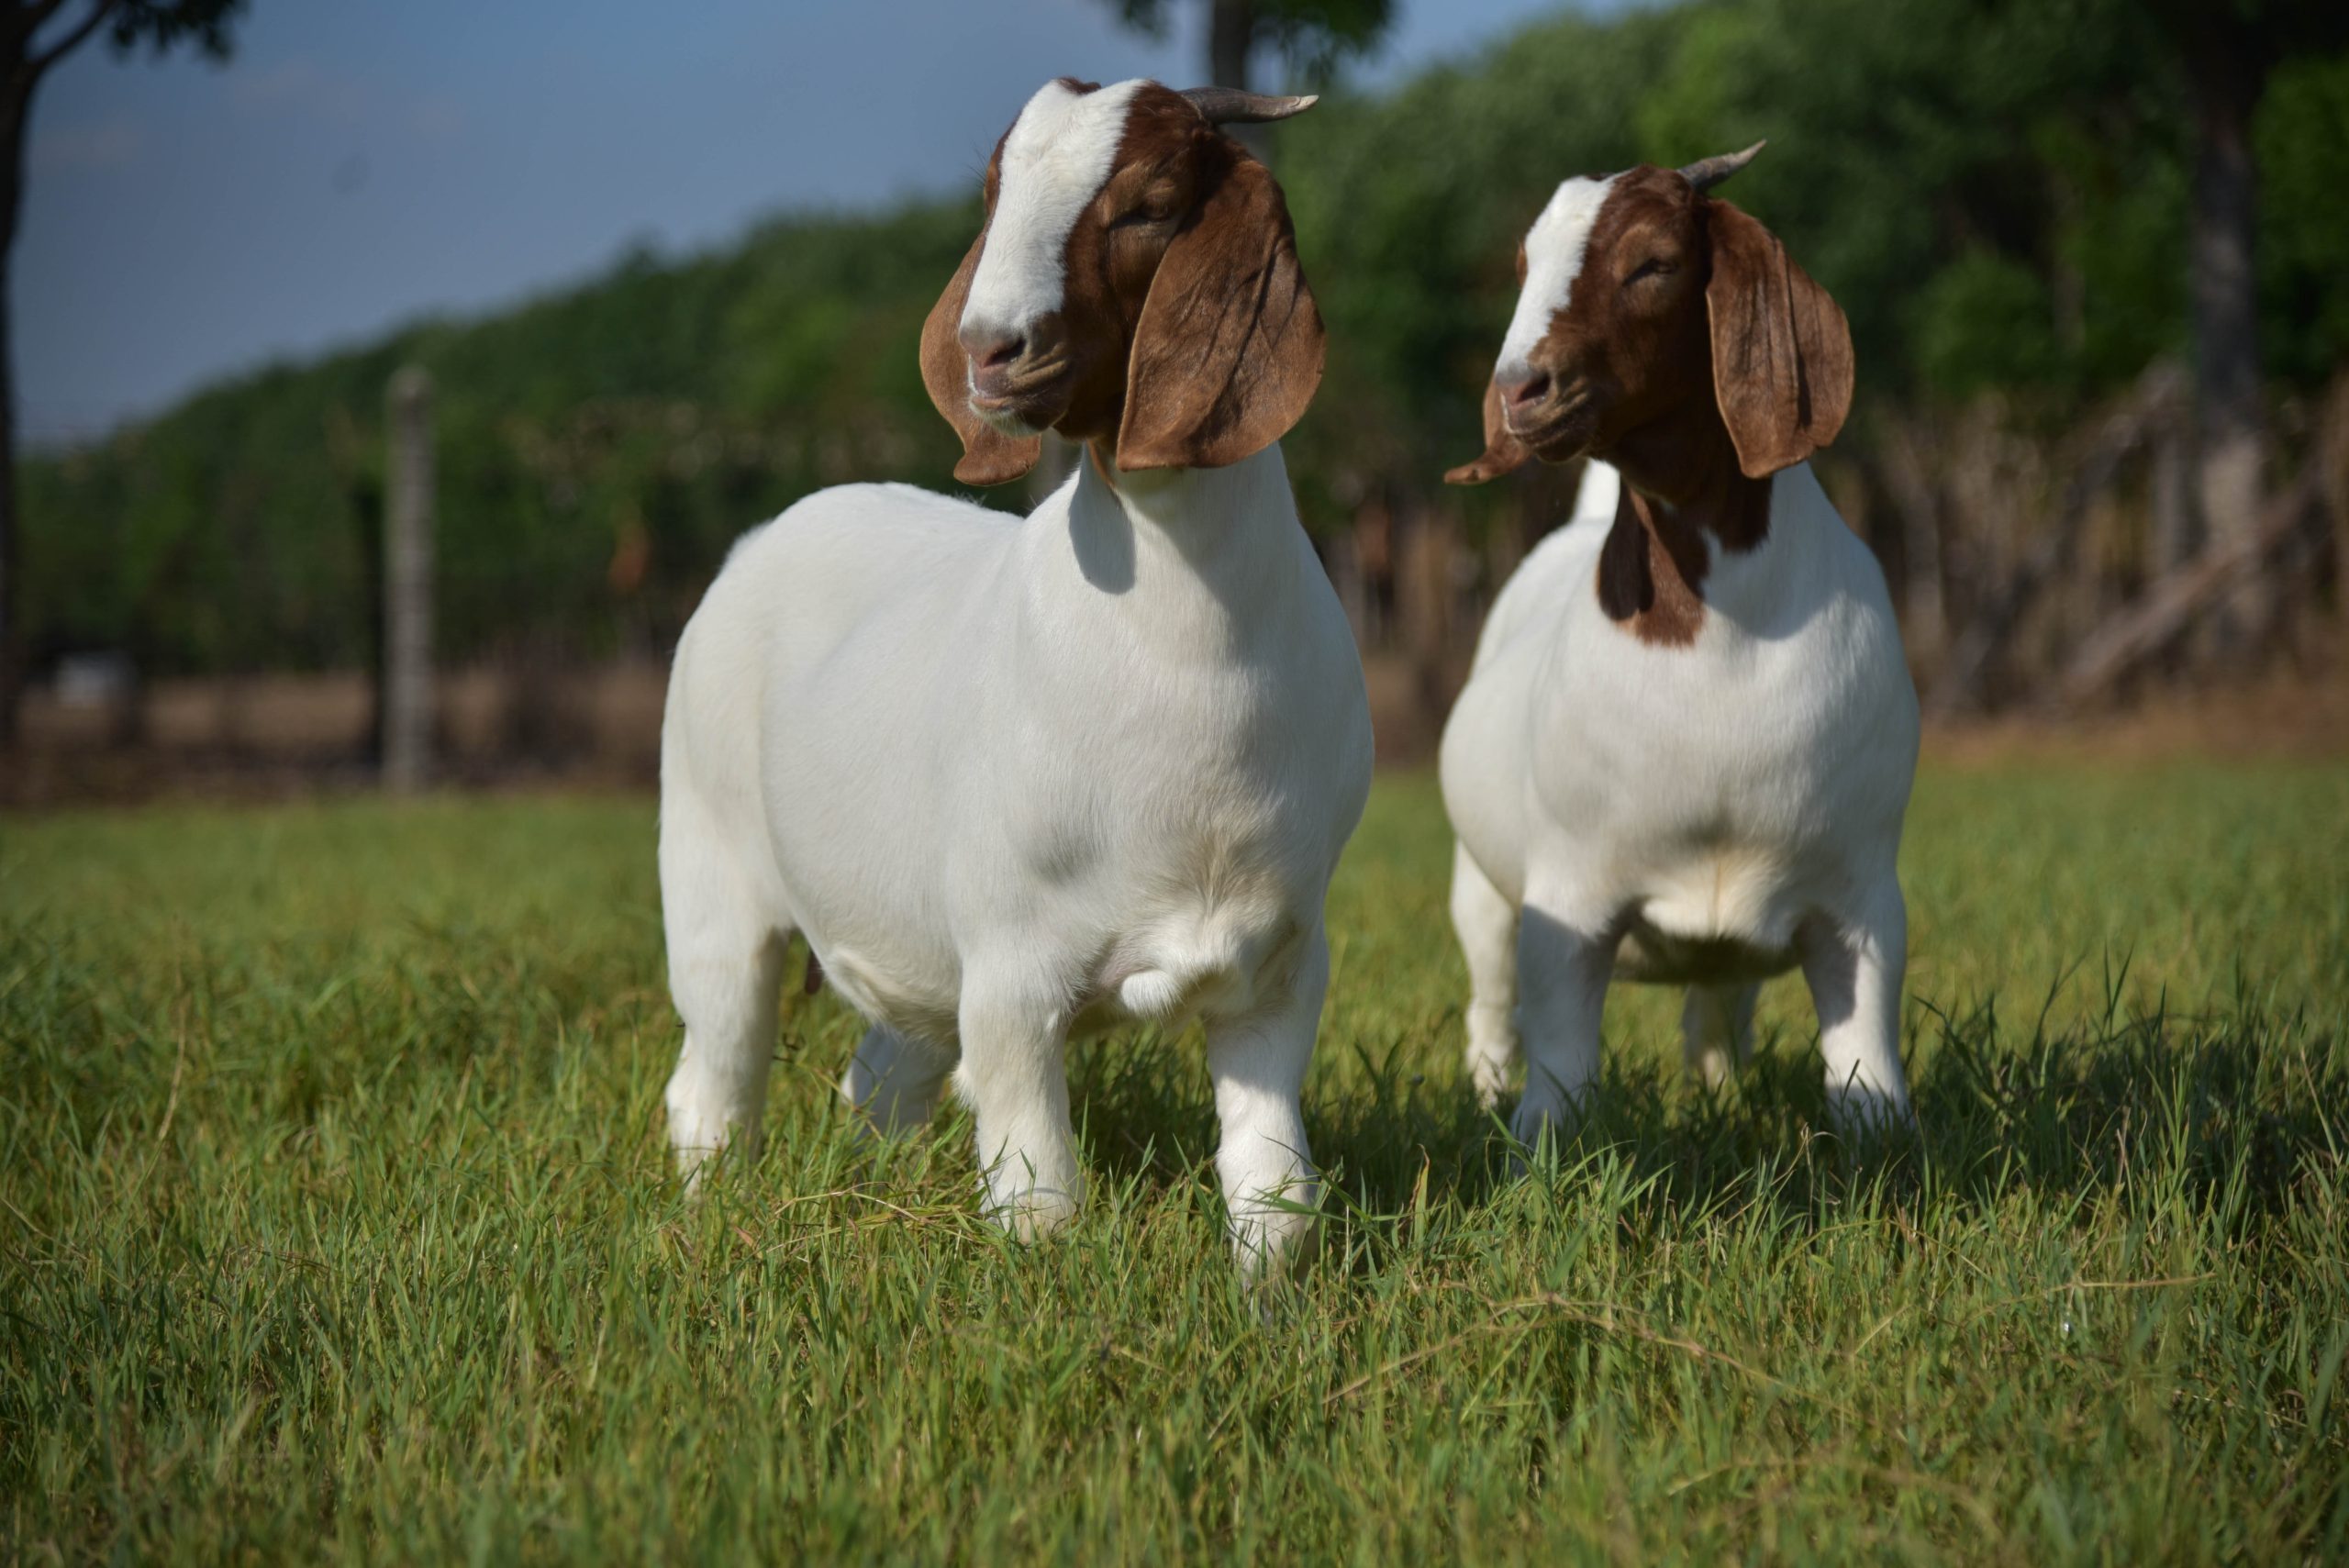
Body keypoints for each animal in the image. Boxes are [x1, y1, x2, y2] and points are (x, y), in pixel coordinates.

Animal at [658, 79, 1373, 1276]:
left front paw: (1272, 1298)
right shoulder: (1008, 964)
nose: (990, 347)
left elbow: (1276, 1194)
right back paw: (710, 1211)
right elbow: (1040, 1202)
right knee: (712, 1068)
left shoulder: (1280, 961)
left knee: (879, 1069)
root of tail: (764, 535)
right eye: (992, 196)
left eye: (1152, 202)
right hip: (709, 865)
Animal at [1441, 144, 1920, 1141]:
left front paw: (1887, 1151)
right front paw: (1534, 1153)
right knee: (1491, 998)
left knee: (1718, 1004)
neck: (1716, 639)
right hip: (1478, 881)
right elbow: (1559, 1059)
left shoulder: (1858, 892)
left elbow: (1865, 1054)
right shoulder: (1569, 893)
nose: (1519, 389)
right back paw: (1486, 1090)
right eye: (1524, 266)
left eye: (1653, 263)